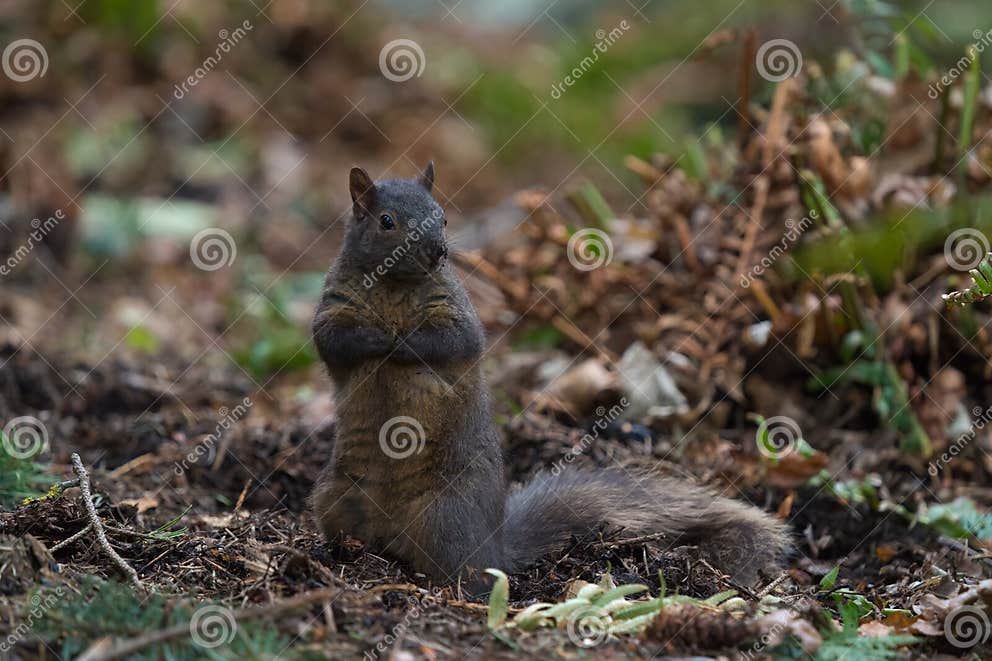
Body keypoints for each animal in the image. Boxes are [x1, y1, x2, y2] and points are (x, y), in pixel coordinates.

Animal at [310, 163, 790, 590]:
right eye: (386, 221)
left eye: (443, 216)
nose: (437, 252)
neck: (394, 285)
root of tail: (495, 547)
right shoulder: (334, 304)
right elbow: (332, 340)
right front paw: (377, 336)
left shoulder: (457, 314)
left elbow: (455, 342)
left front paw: (400, 340)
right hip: (334, 496)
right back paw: (341, 552)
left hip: (446, 518)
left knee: (467, 574)